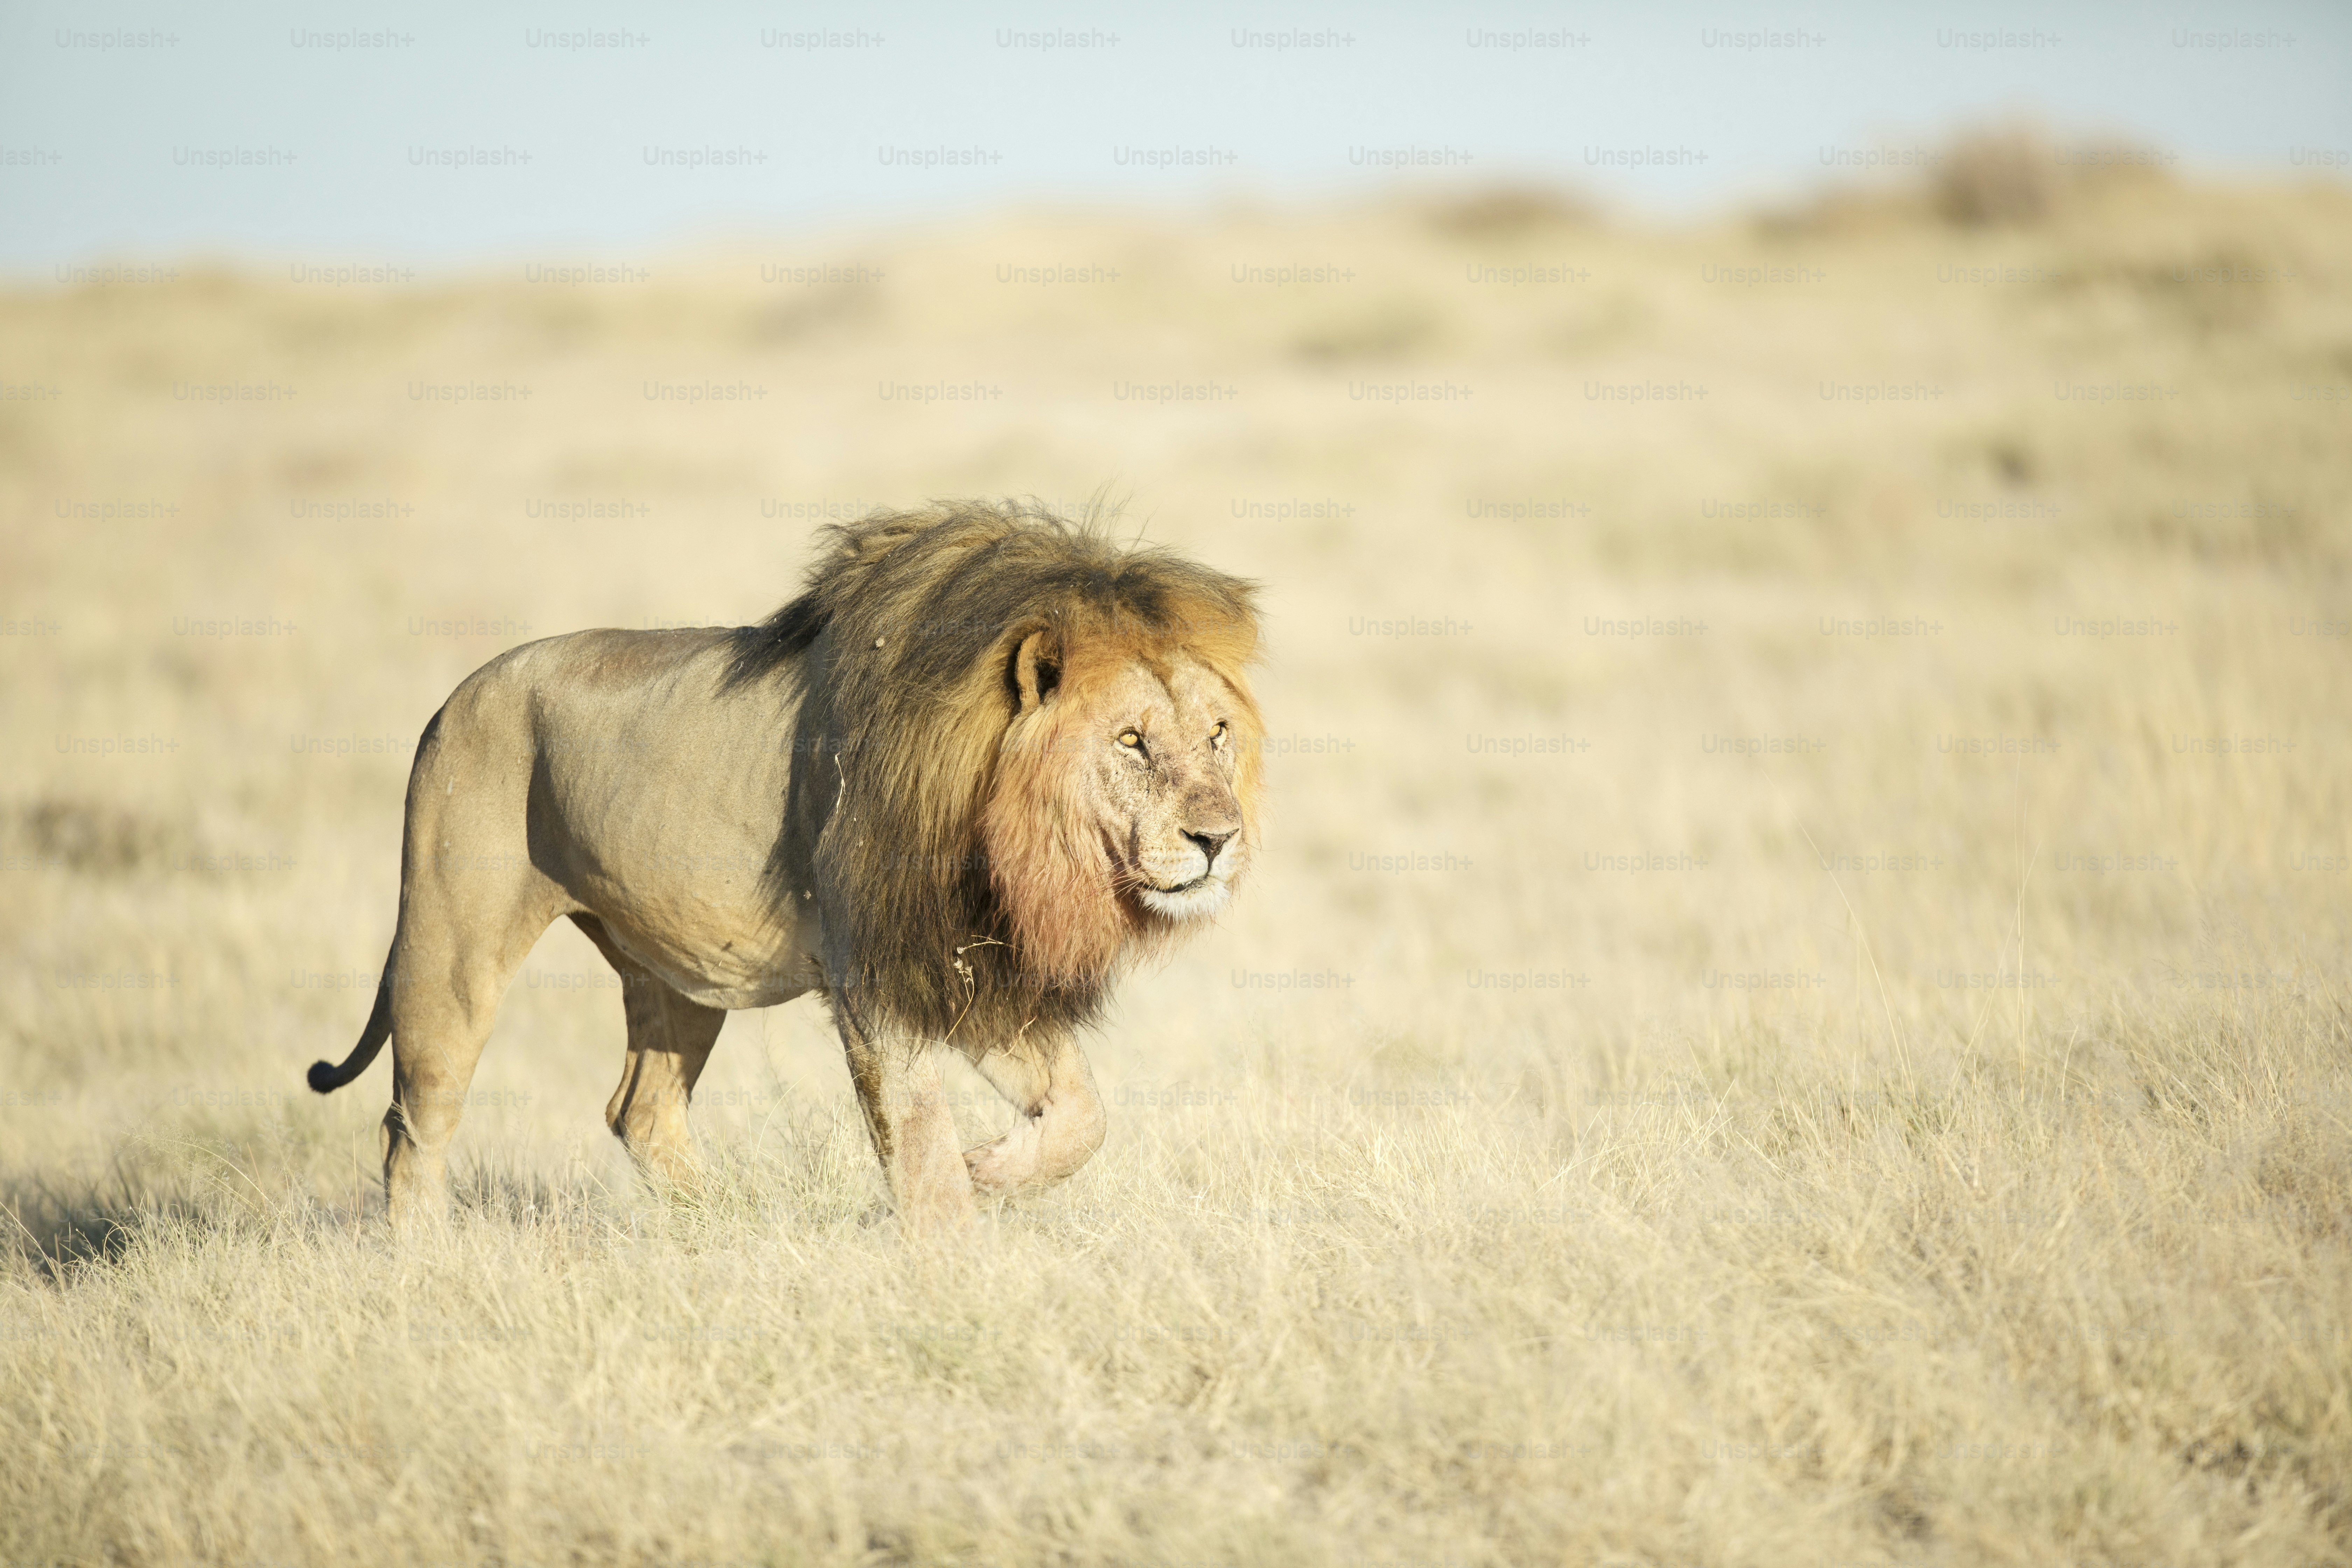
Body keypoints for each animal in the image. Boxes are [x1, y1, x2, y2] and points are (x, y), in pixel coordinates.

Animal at [307, 501, 1265, 1229]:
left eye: (1217, 734)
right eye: (1132, 741)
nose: (1221, 837)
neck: (995, 831)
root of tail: (452, 698)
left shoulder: (967, 966)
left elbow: (1082, 1116)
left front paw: (988, 1171)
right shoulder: (876, 977)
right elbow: (920, 1141)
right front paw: (951, 1249)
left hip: (676, 975)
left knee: (641, 1113)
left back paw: (721, 1232)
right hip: (449, 944)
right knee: (415, 1122)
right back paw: (426, 1263)